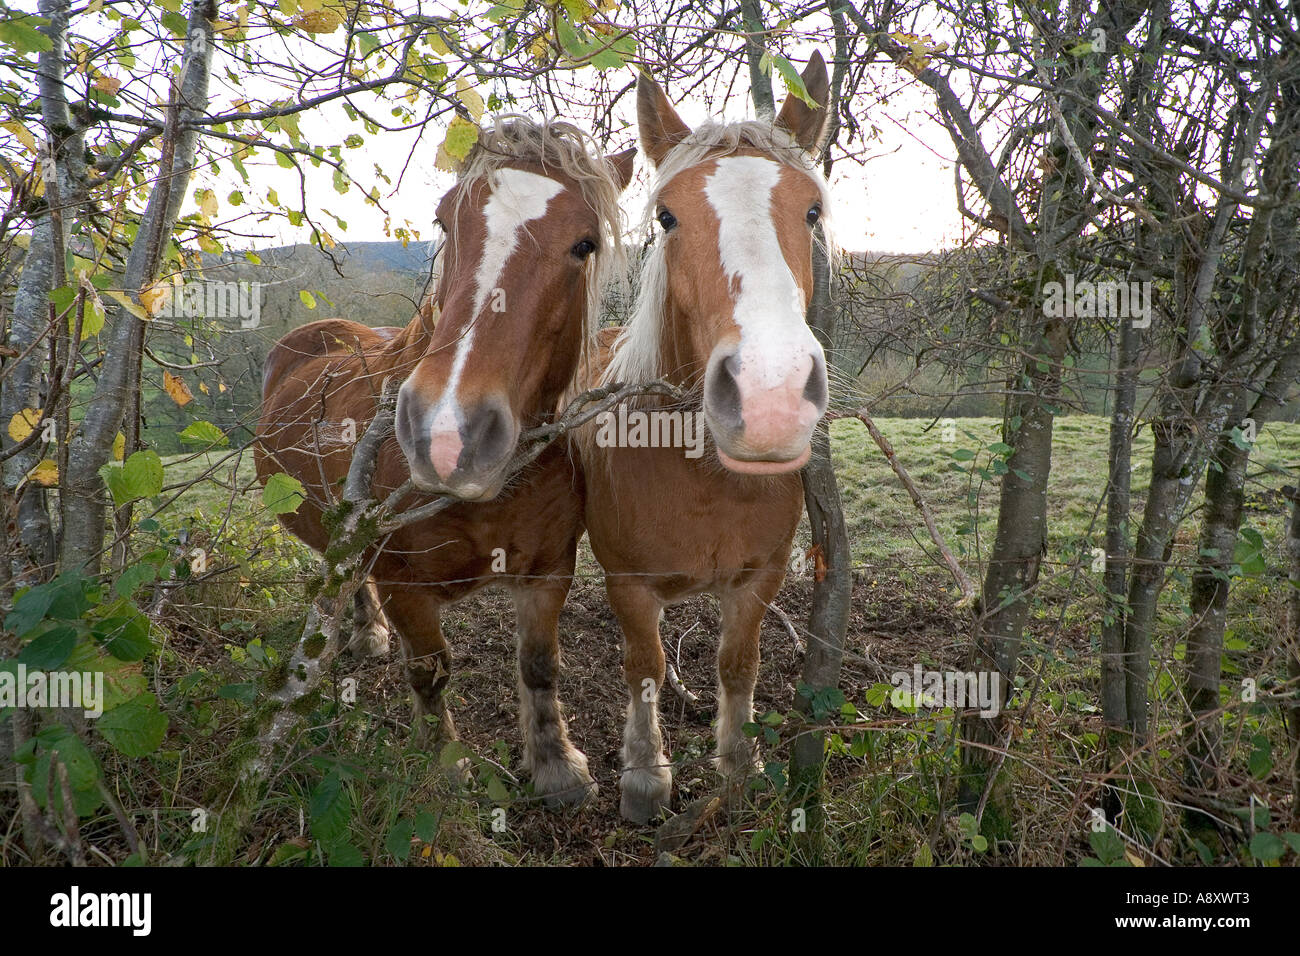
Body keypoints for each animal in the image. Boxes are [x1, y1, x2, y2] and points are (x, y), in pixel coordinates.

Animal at [255, 116, 635, 805]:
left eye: (585, 243)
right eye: (443, 219)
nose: (447, 433)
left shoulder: (549, 569)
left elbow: (540, 666)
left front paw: (557, 766)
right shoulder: (404, 584)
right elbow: (430, 671)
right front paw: (445, 767)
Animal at [574, 54, 833, 822]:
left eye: (812, 210)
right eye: (667, 216)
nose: (770, 395)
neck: (701, 476)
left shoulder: (758, 578)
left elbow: (737, 664)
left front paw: (739, 767)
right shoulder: (628, 584)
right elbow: (645, 666)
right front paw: (644, 777)